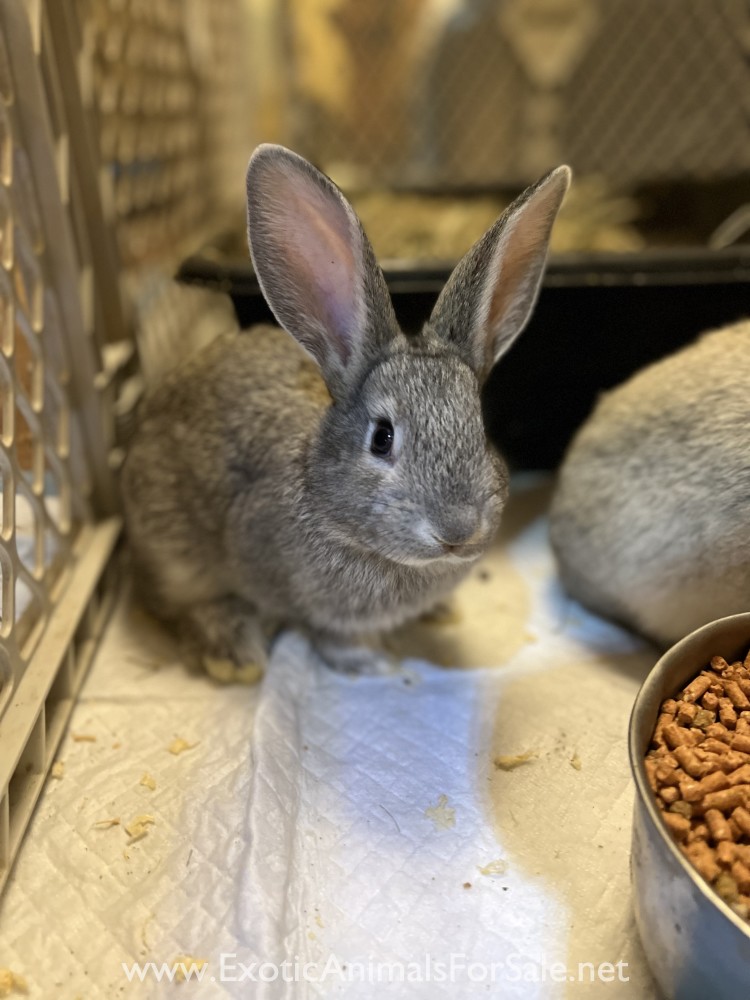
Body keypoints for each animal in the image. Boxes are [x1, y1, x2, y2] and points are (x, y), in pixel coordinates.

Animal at [121, 144, 570, 681]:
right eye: (382, 438)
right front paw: (376, 664)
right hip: (173, 552)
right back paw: (232, 652)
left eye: (480, 430)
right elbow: (331, 637)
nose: (457, 531)